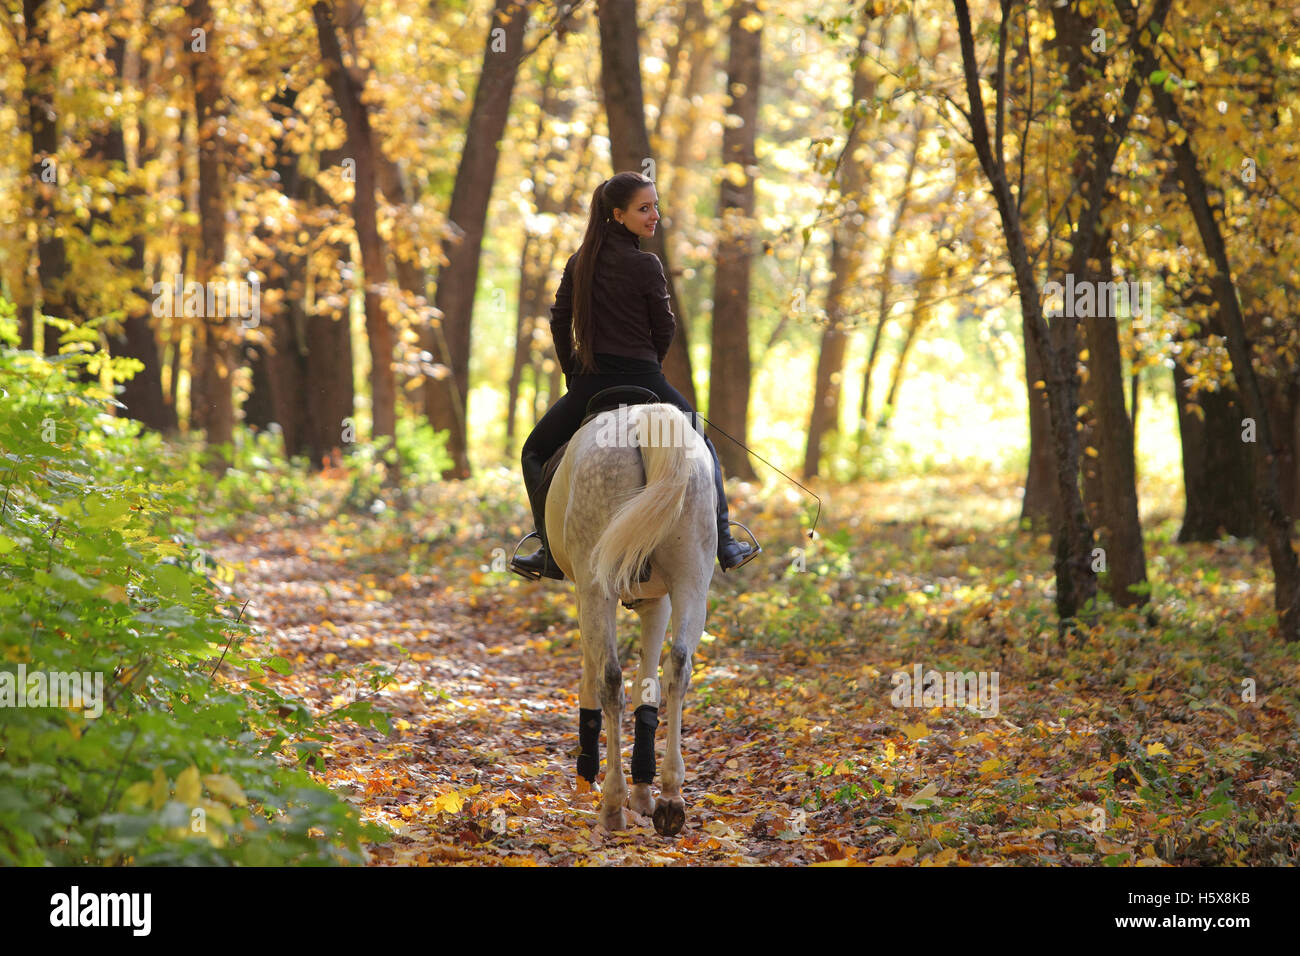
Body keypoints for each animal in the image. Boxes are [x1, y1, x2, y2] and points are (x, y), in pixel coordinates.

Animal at [542, 395, 716, 835]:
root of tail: (644, 417)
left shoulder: (586, 594)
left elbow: (595, 678)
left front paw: (591, 779)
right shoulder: (660, 602)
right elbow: (648, 686)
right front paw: (644, 792)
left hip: (596, 585)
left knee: (608, 679)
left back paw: (611, 805)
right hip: (692, 582)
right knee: (679, 668)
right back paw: (670, 798)